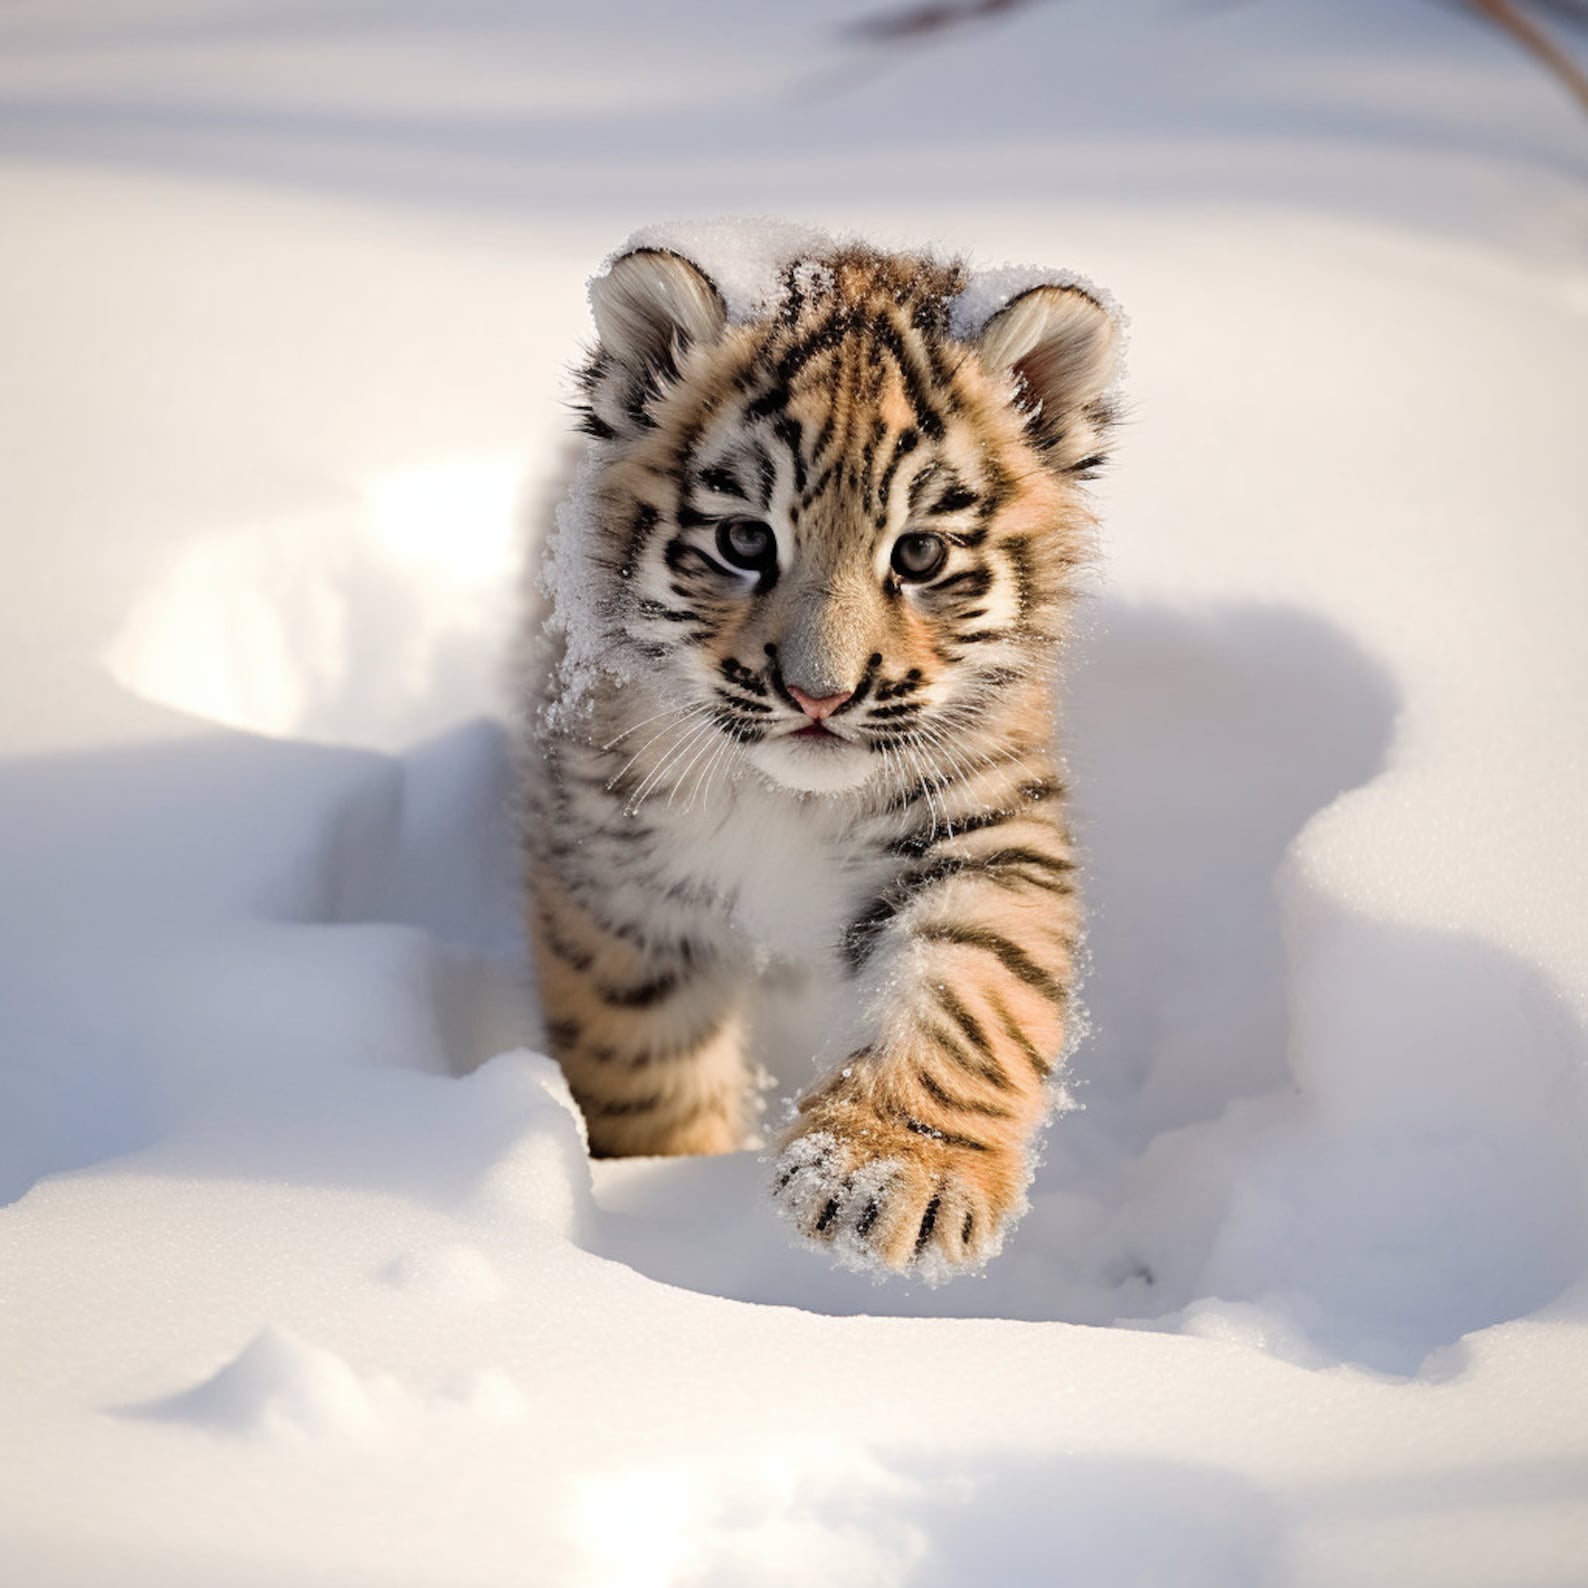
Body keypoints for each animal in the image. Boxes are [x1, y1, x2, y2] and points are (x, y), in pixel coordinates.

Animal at [525, 228, 1122, 1276]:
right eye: (743, 540)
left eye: (919, 555)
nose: (819, 695)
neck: (792, 799)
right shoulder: (613, 865)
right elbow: (640, 1052)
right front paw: (659, 1180)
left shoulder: (983, 829)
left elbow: (968, 997)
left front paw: (885, 1176)